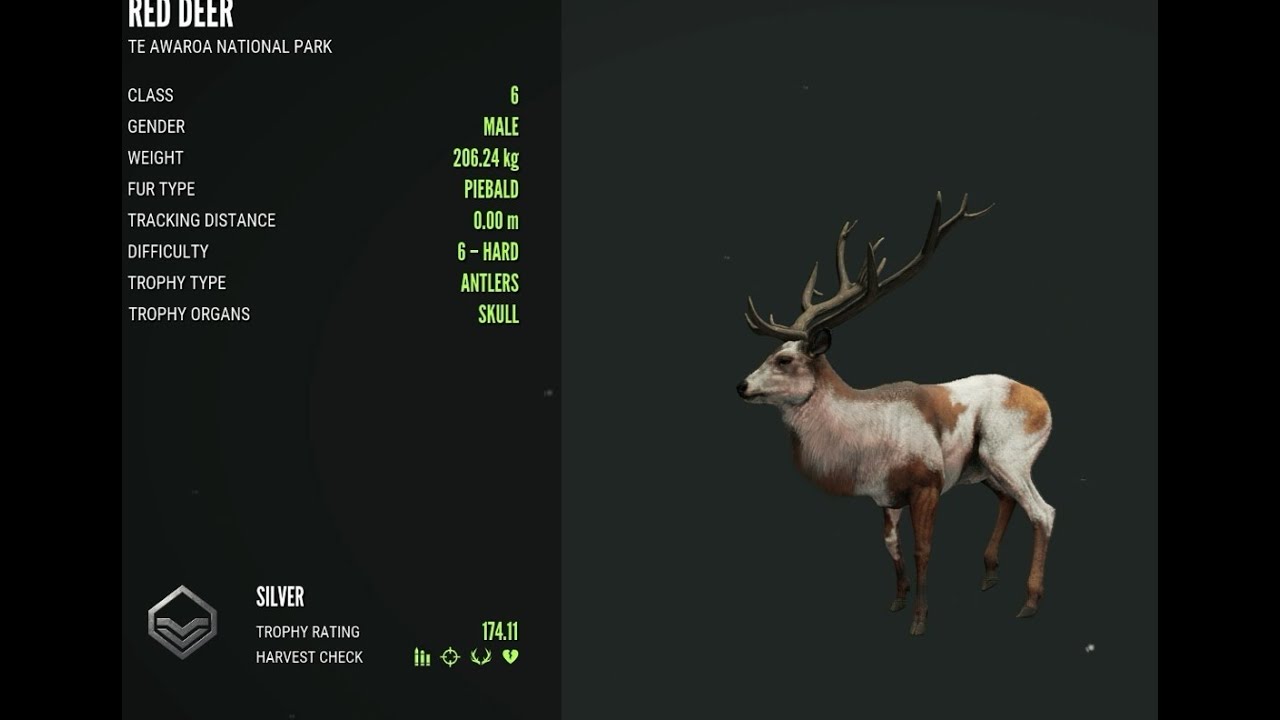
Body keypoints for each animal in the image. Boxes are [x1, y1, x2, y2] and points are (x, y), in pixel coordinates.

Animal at [736, 193, 1055, 637]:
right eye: (771, 354)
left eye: (784, 359)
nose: (741, 386)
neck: (870, 436)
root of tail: (1041, 400)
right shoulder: (884, 496)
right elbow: (891, 545)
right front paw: (897, 601)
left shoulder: (928, 484)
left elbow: (923, 548)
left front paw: (919, 621)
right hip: (984, 468)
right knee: (1009, 499)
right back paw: (989, 575)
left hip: (1009, 456)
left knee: (1043, 511)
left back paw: (1029, 602)